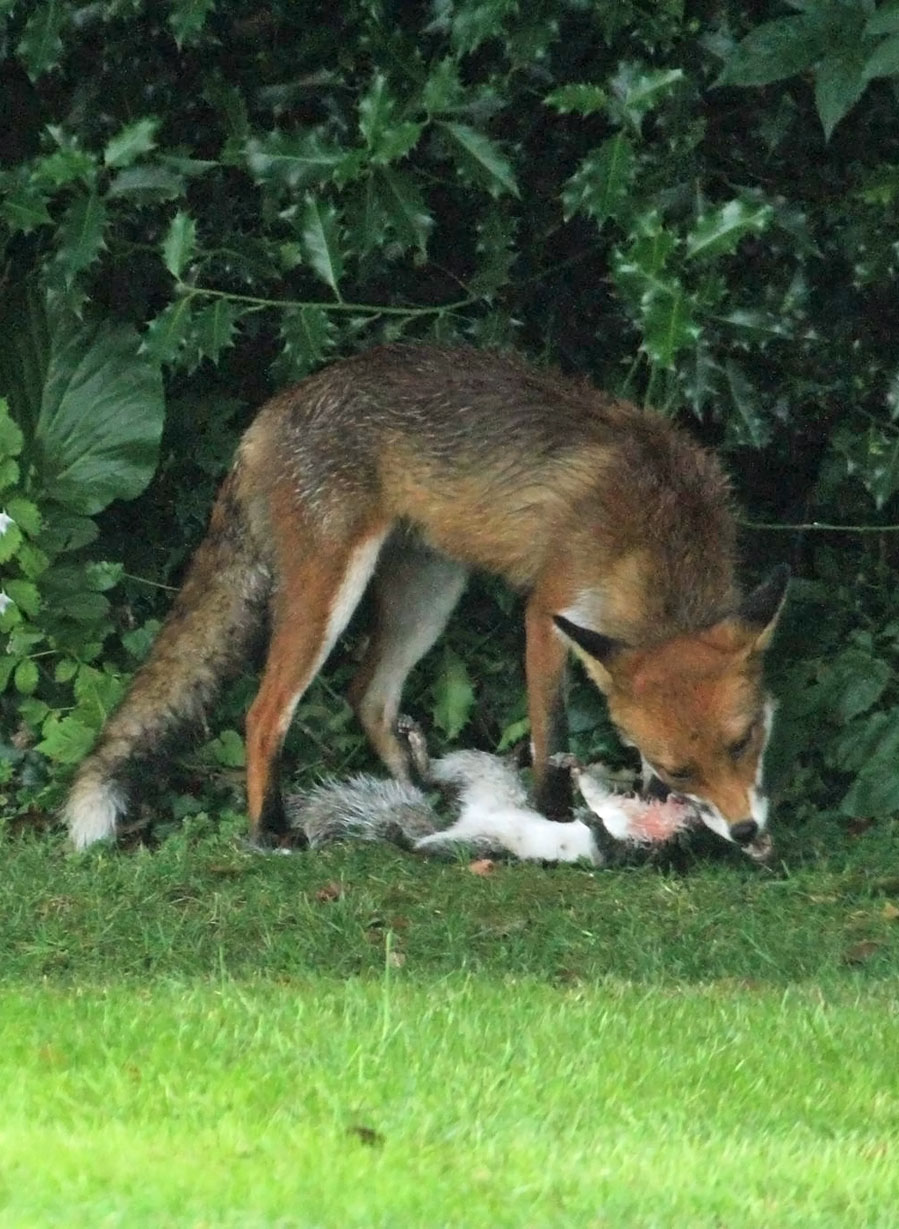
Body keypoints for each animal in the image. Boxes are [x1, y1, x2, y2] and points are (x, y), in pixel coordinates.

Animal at [63, 343, 789, 852]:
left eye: (742, 742)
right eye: (682, 768)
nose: (746, 832)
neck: (654, 530)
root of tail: (270, 411)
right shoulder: (547, 611)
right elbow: (550, 735)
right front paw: (559, 818)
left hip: (429, 593)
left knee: (368, 695)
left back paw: (416, 793)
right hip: (329, 591)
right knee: (264, 712)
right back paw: (270, 831)